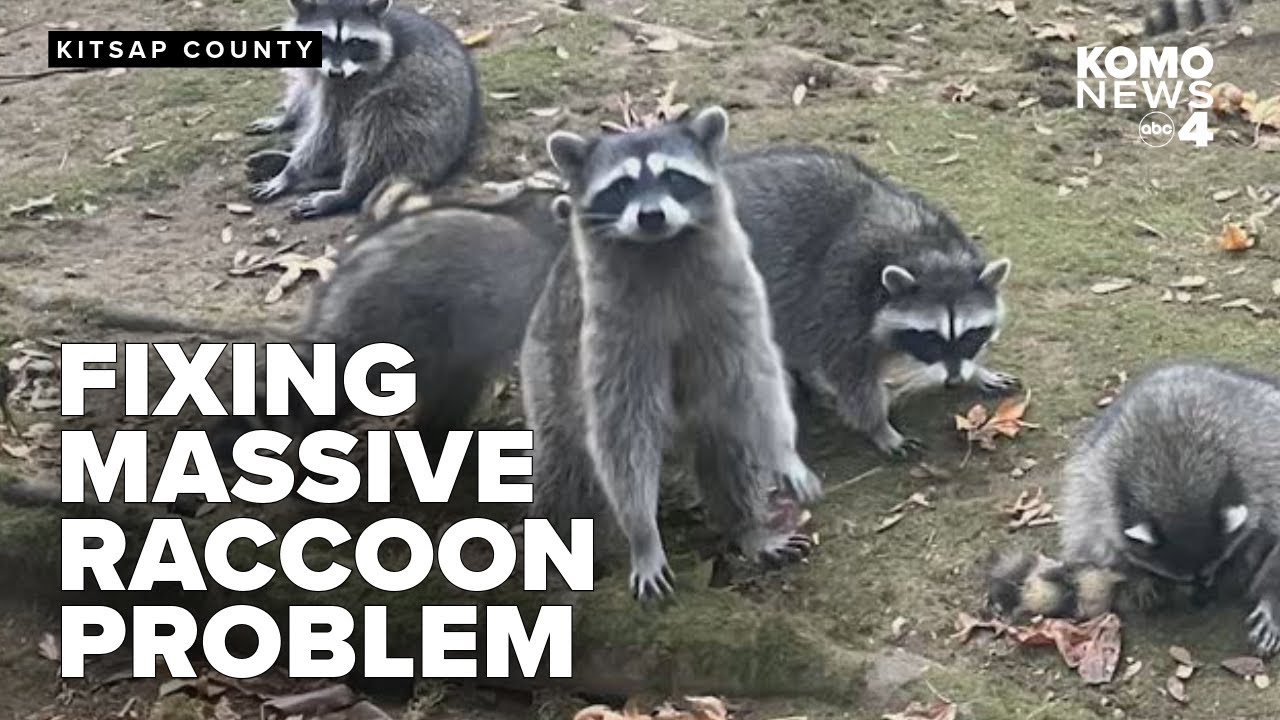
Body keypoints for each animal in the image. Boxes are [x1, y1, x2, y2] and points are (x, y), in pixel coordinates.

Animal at [246, 0, 481, 220]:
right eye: (323, 41)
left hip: (419, 116)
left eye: (355, 43)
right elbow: (306, 91)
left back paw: (346, 192)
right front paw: (286, 117)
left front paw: (290, 174)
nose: (336, 72)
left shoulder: (354, 85)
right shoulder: (317, 71)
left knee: (375, 129)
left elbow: (331, 132)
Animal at [522, 107, 823, 602]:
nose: (651, 216)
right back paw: (556, 555)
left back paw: (747, 525)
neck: (659, 248)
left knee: (731, 441)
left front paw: (784, 453)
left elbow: (757, 380)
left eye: (674, 178)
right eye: (621, 186)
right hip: (546, 371)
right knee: (565, 474)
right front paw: (643, 535)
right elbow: (620, 433)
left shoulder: (736, 296)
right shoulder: (610, 332)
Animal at [722, 147, 1018, 457]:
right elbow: (852, 378)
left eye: (970, 335)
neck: (931, 256)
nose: (954, 382)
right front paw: (880, 428)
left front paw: (977, 371)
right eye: (930, 338)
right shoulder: (841, 301)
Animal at [990, 362, 1280, 656]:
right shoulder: (1107, 487)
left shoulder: (1265, 474)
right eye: (1184, 579)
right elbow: (1103, 534)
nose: (1202, 601)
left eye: (1212, 569)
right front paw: (1136, 572)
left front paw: (1270, 595)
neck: (1176, 482)